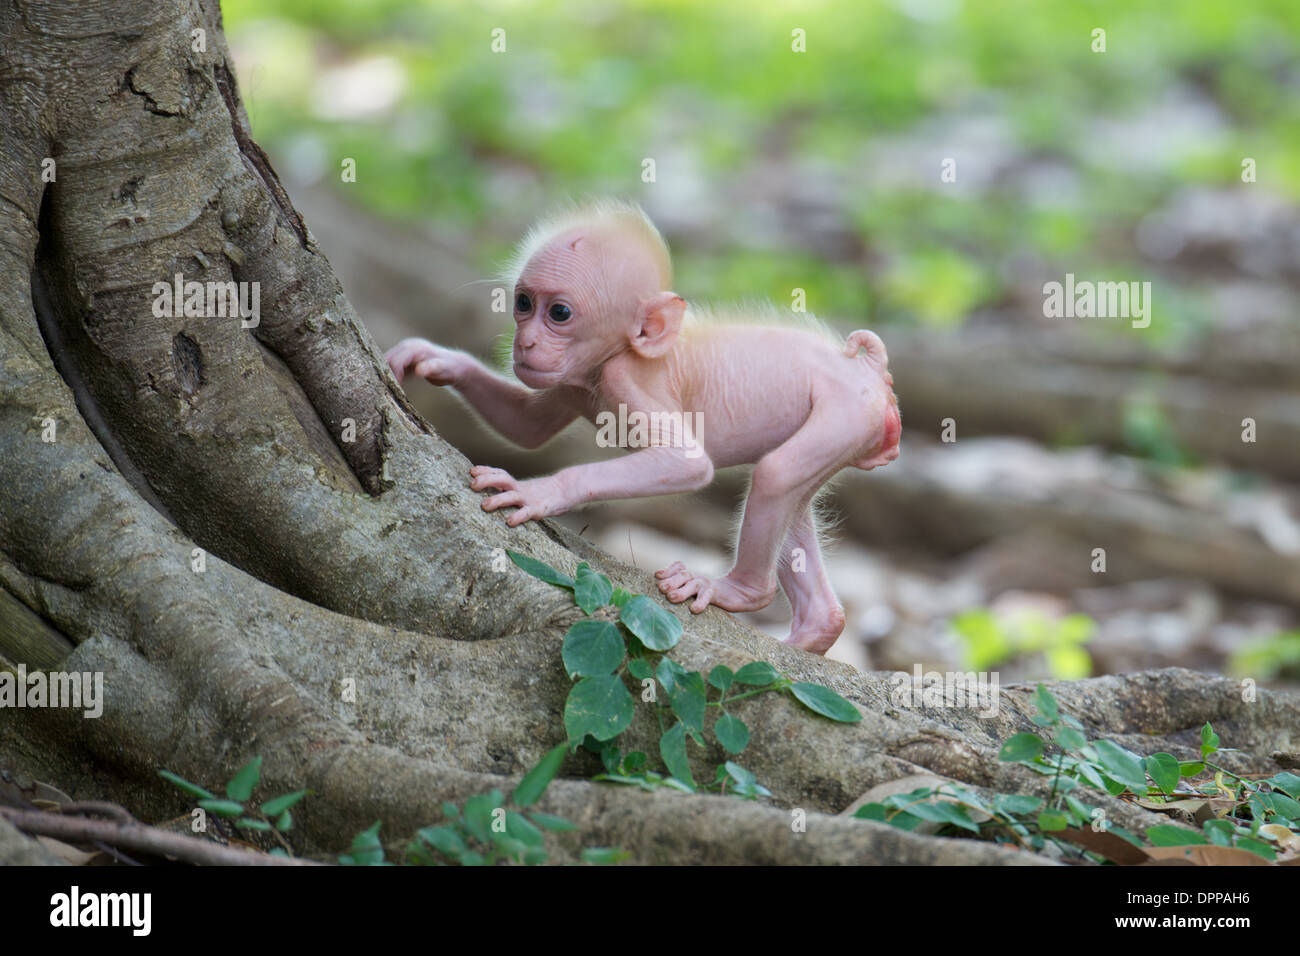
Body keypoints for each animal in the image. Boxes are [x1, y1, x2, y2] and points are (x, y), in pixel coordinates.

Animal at [386, 199, 900, 654]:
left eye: (559, 314)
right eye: (524, 303)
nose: (525, 342)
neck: (614, 356)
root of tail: (868, 370)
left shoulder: (626, 378)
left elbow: (689, 464)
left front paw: (539, 493)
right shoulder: (573, 384)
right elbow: (527, 428)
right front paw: (438, 360)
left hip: (848, 412)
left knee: (776, 473)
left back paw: (740, 591)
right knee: (789, 487)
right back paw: (817, 627)